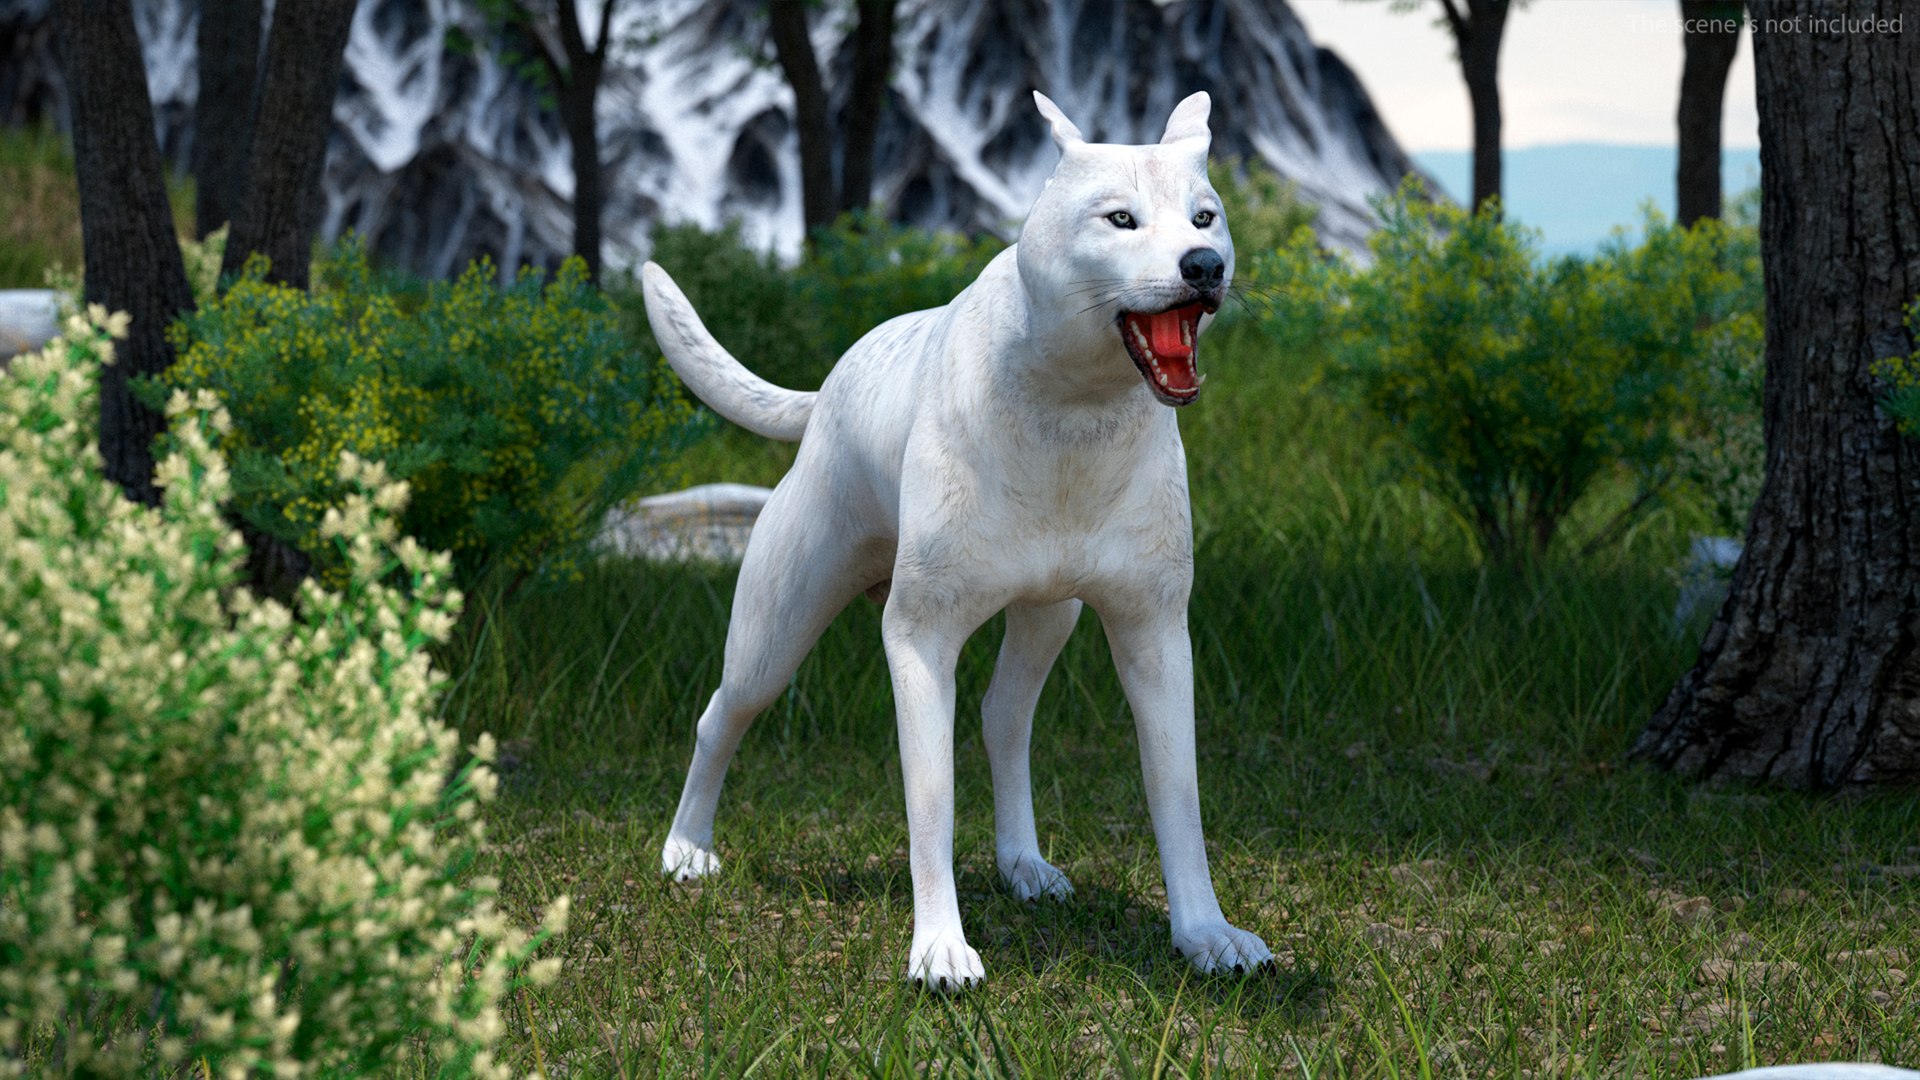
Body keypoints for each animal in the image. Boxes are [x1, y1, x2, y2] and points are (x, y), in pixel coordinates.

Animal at [640, 90, 1272, 990]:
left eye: (1204, 216)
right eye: (1119, 218)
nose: (1203, 266)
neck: (1070, 409)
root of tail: (827, 390)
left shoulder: (1154, 635)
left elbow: (1177, 797)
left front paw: (1206, 933)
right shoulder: (920, 639)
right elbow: (930, 802)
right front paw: (939, 947)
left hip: (1049, 619)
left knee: (1004, 717)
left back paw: (1023, 864)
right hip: (776, 627)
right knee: (722, 715)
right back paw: (687, 848)